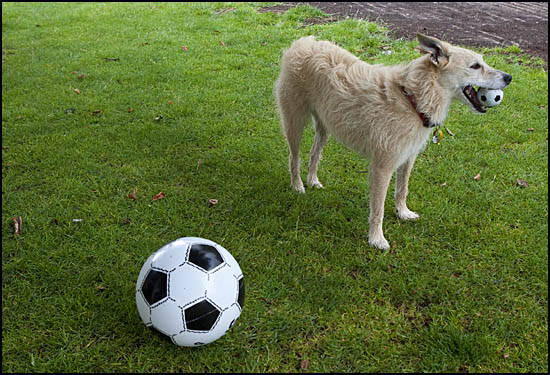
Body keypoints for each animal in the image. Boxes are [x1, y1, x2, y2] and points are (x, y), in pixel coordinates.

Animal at [274, 33, 512, 250]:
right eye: (475, 66)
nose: (509, 77)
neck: (414, 98)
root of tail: (302, 42)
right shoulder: (382, 167)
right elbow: (377, 209)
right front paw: (376, 239)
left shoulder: (408, 158)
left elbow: (402, 189)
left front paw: (402, 212)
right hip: (294, 122)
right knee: (293, 157)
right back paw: (298, 185)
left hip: (325, 127)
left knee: (314, 153)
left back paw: (312, 180)